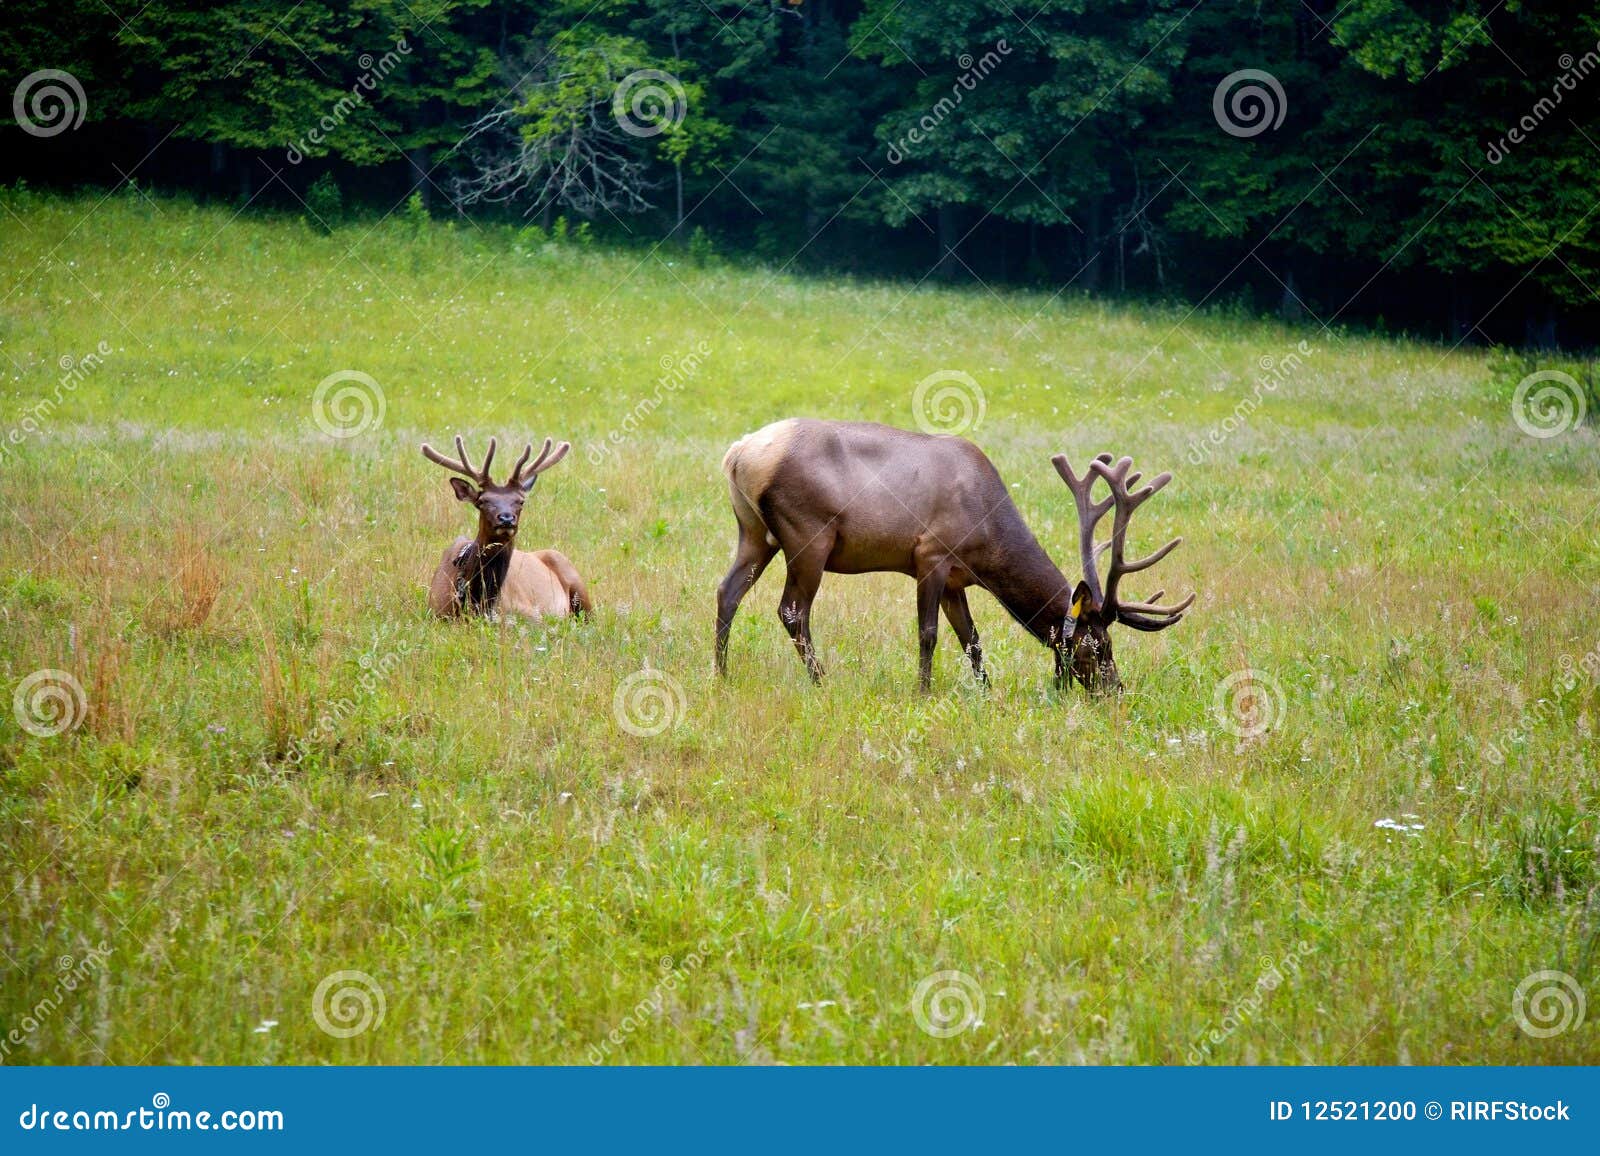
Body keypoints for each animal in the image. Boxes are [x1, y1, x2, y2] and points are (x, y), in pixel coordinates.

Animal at [715, 419, 1194, 694]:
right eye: (1099, 645)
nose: (1115, 691)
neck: (988, 543)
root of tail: (737, 453)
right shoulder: (931, 554)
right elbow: (928, 634)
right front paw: (923, 692)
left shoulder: (955, 580)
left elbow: (972, 640)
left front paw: (987, 692)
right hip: (808, 533)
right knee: (792, 610)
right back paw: (820, 681)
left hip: (754, 532)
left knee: (727, 591)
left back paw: (721, 675)